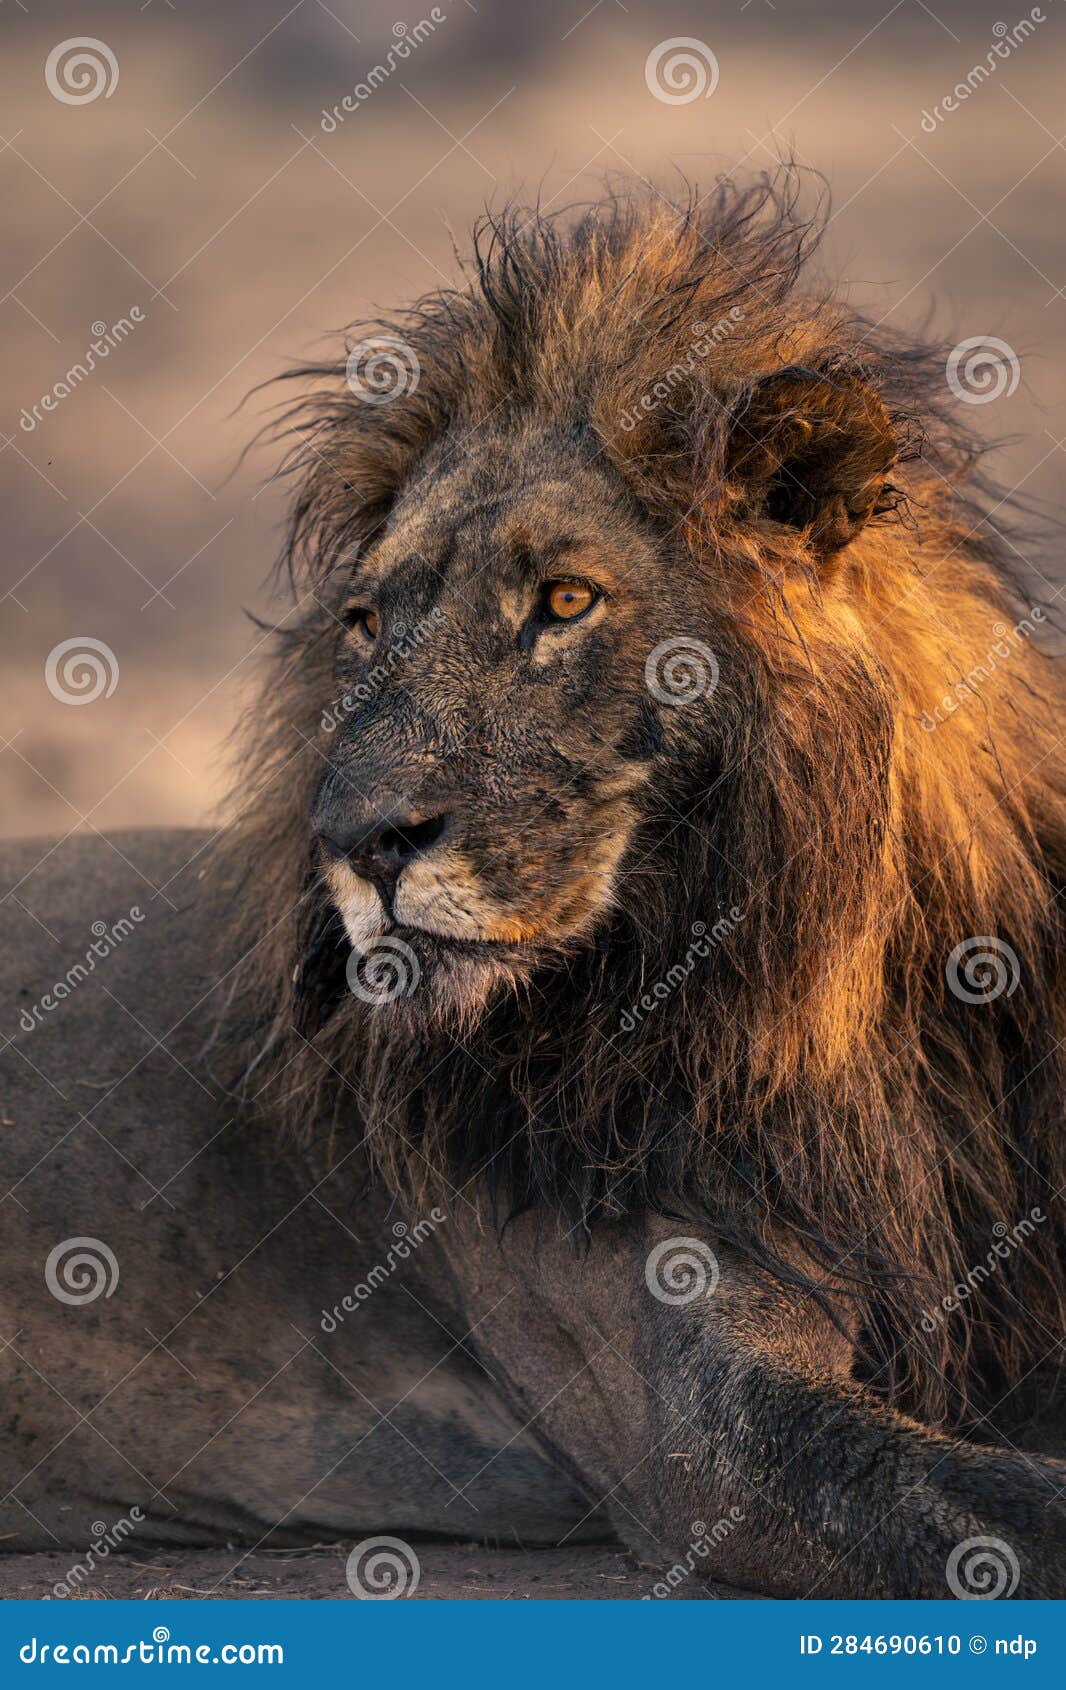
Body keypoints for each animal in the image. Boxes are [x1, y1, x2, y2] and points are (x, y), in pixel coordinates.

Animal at [2, 172, 1065, 1599]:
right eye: (365, 628)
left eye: (562, 602)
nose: (355, 836)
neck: (818, 994)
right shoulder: (688, 1421)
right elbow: (958, 1492)